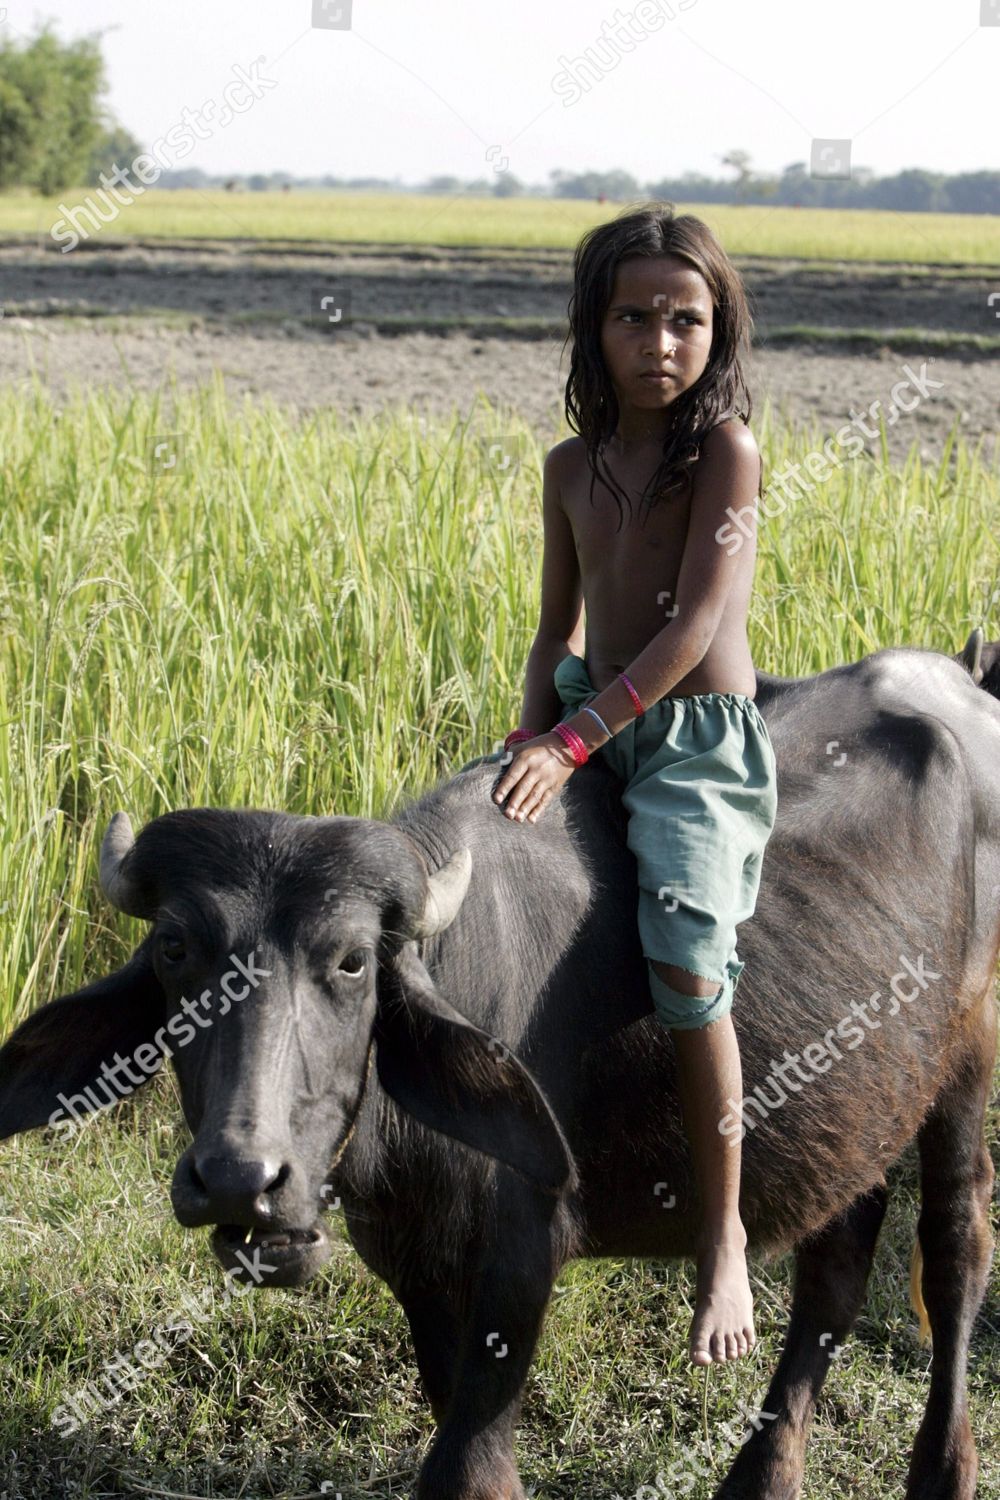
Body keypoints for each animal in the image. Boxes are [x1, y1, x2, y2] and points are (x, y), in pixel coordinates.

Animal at [1, 632, 998, 1500]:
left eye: (352, 961)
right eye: (176, 950)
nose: (242, 1179)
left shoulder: (517, 1263)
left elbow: (465, 1470)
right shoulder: (420, 1270)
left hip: (967, 1062)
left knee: (954, 1247)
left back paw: (941, 1470)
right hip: (865, 1098)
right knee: (836, 1260)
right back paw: (763, 1479)